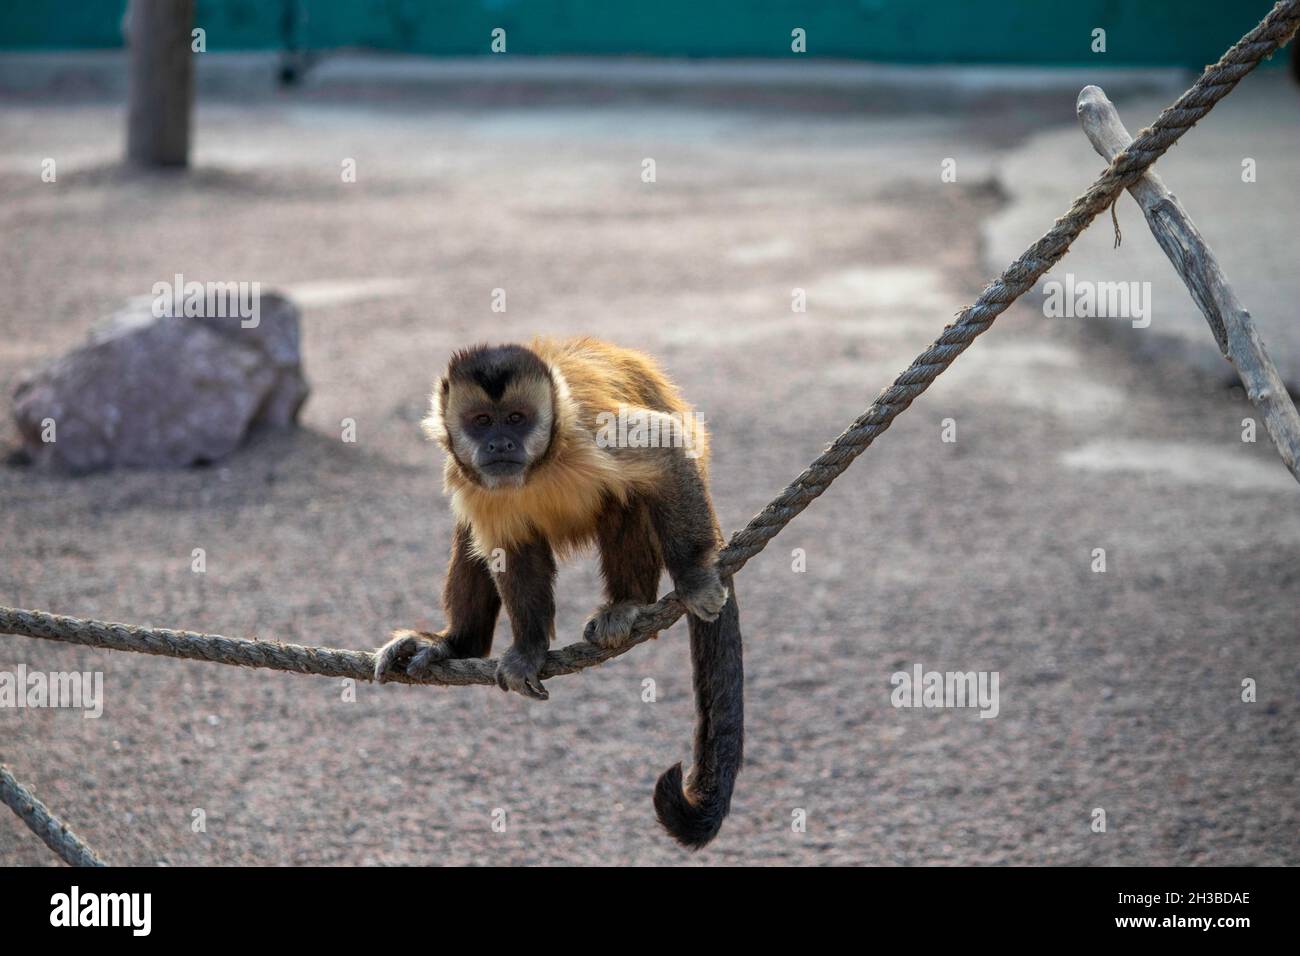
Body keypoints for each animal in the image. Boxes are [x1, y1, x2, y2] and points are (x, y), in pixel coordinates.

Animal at [374, 336, 743, 849]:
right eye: (482, 421)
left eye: (517, 418)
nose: (500, 443)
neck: (539, 467)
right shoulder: (477, 480)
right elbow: (510, 547)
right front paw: (529, 648)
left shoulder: (589, 430)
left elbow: (663, 445)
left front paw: (694, 575)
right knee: (471, 534)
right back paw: (458, 643)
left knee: (630, 493)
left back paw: (629, 601)